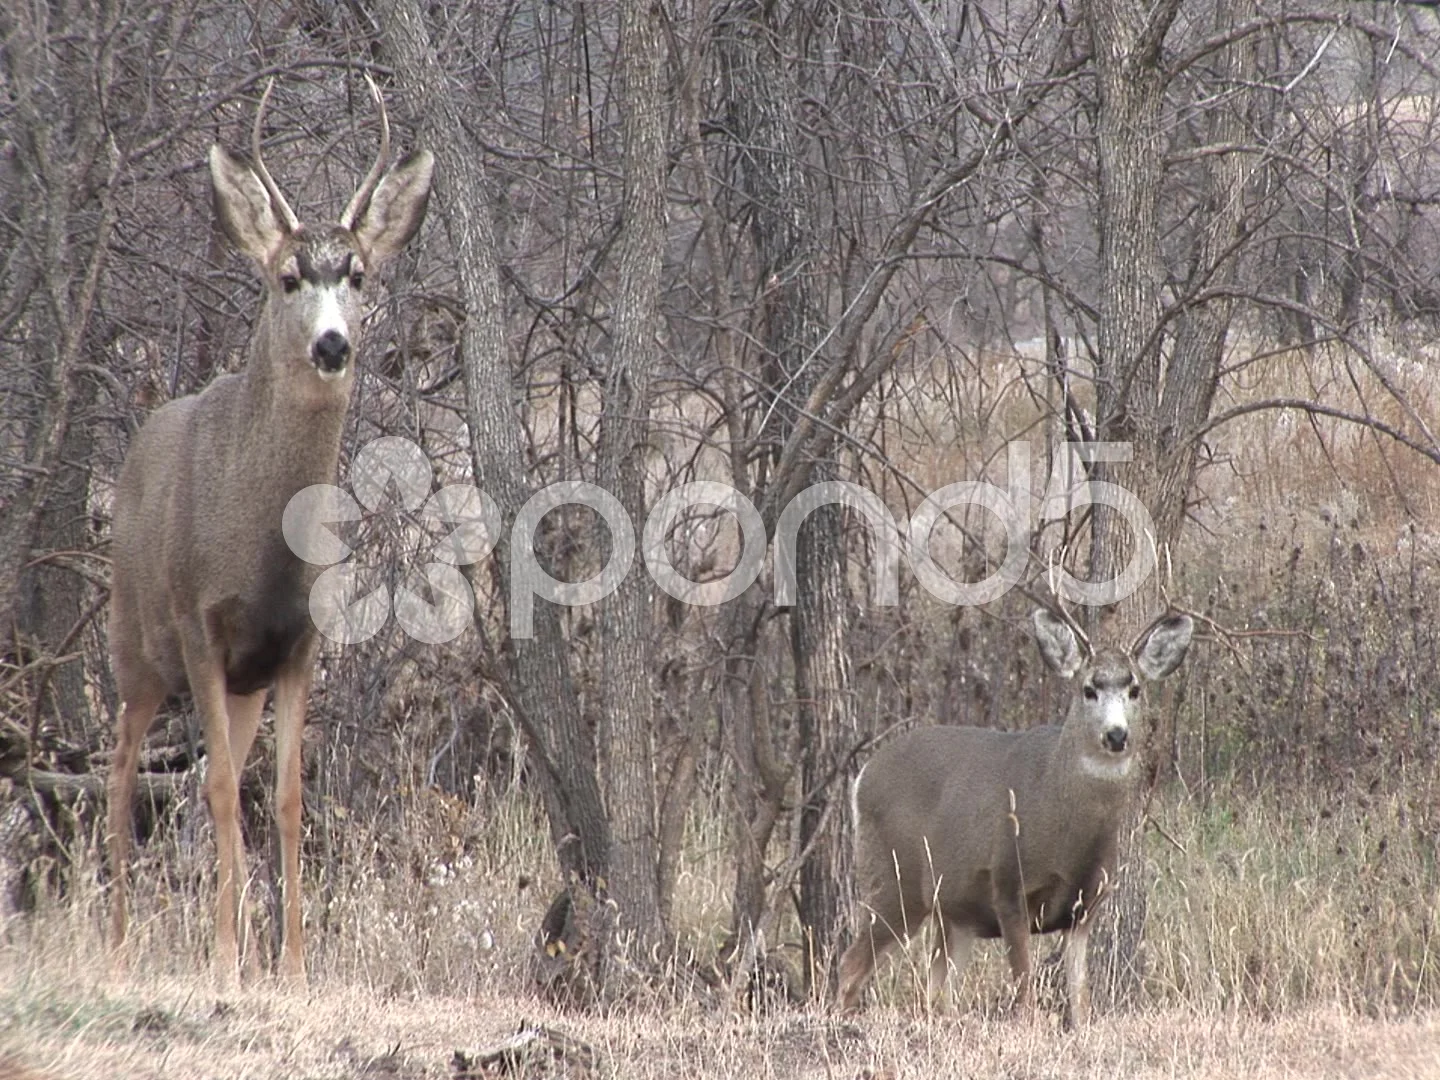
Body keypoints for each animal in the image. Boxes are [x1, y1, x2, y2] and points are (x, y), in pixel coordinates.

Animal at [106, 78, 433, 986]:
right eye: (288, 277)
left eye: (356, 273)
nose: (333, 343)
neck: (263, 550)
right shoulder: (200, 624)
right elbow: (222, 789)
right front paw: (223, 956)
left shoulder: (296, 644)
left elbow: (283, 795)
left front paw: (290, 961)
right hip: (135, 643)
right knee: (121, 771)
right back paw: (117, 946)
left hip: (238, 685)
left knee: (198, 777)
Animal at [836, 608, 1194, 1027]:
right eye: (1089, 689)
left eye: (1135, 688)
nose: (1117, 735)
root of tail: (862, 776)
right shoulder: (1007, 883)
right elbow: (1025, 996)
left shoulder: (1085, 907)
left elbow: (1081, 1000)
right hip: (894, 880)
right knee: (851, 965)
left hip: (952, 911)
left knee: (935, 987)